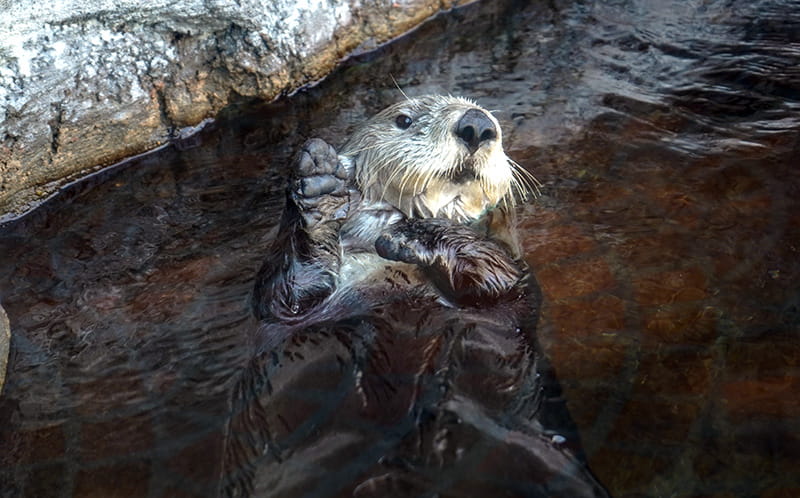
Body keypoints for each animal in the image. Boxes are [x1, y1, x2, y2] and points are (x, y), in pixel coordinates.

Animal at [221, 96, 608, 498]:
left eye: (493, 123)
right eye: (404, 120)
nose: (477, 124)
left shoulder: (513, 275)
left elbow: (498, 276)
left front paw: (414, 233)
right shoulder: (286, 308)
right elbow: (284, 296)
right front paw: (318, 190)